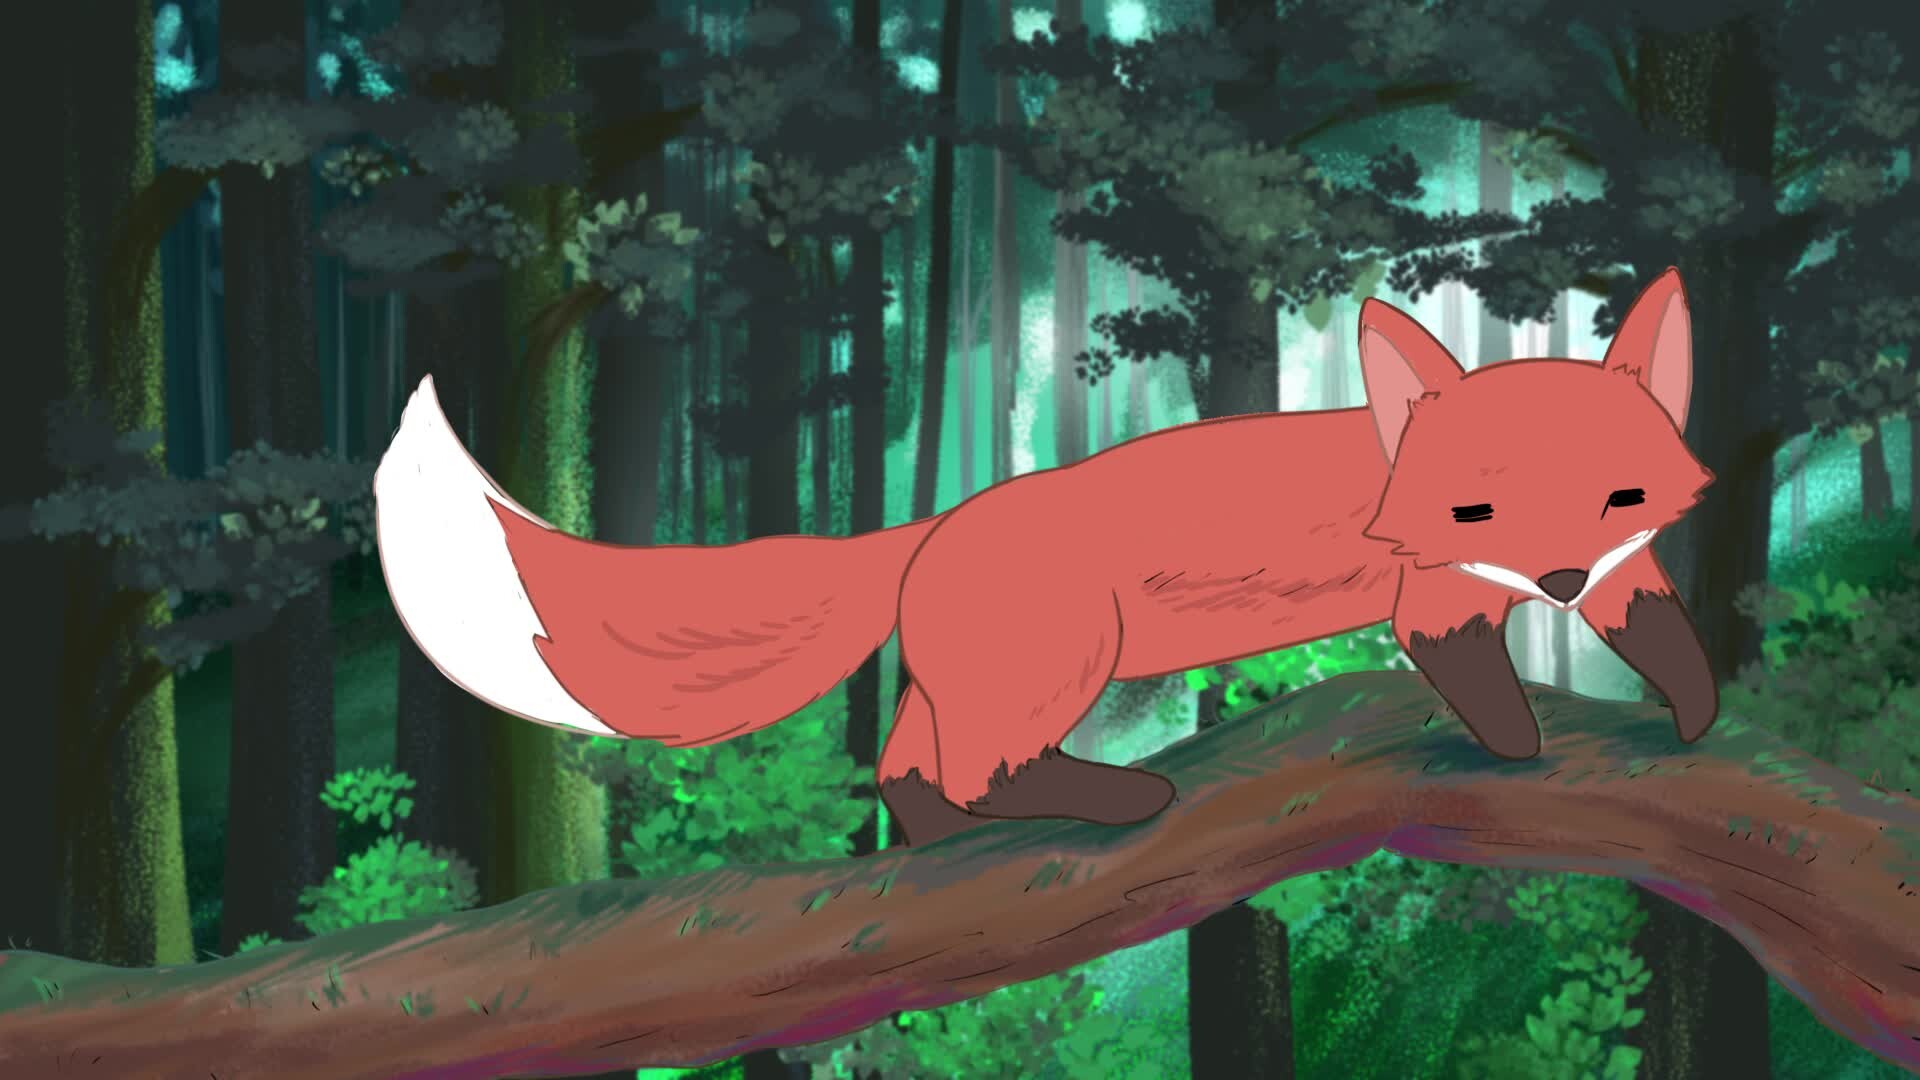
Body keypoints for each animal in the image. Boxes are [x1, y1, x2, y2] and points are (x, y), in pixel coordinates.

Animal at [373, 267, 1719, 848]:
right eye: (1473, 514)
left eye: (1621, 496)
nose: (1554, 584)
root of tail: (937, 521)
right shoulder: (1434, 607)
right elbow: (1480, 684)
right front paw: (1518, 748)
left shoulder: (1624, 572)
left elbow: (1664, 639)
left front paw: (1698, 715)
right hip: (1061, 664)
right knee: (984, 771)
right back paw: (1116, 797)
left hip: (965, 679)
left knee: (910, 771)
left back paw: (935, 833)